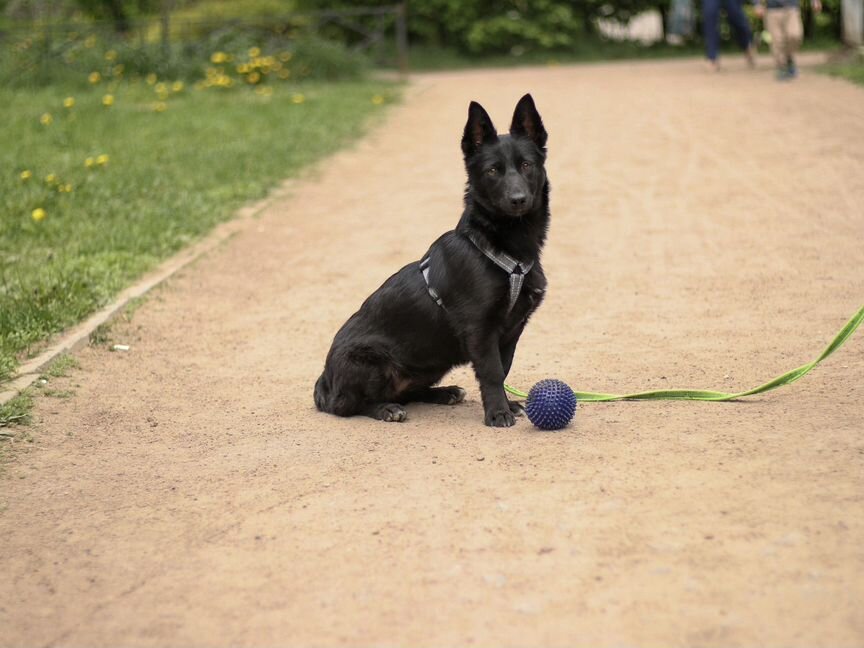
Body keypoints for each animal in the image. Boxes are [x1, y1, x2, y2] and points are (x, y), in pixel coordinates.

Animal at [314, 91, 552, 426]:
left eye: (527, 165)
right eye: (493, 170)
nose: (518, 200)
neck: (503, 250)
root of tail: (324, 383)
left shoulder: (511, 332)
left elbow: (503, 369)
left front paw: (506, 404)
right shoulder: (480, 330)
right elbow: (493, 373)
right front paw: (498, 412)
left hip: (430, 363)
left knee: (409, 392)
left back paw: (444, 392)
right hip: (367, 360)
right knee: (348, 405)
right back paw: (385, 409)